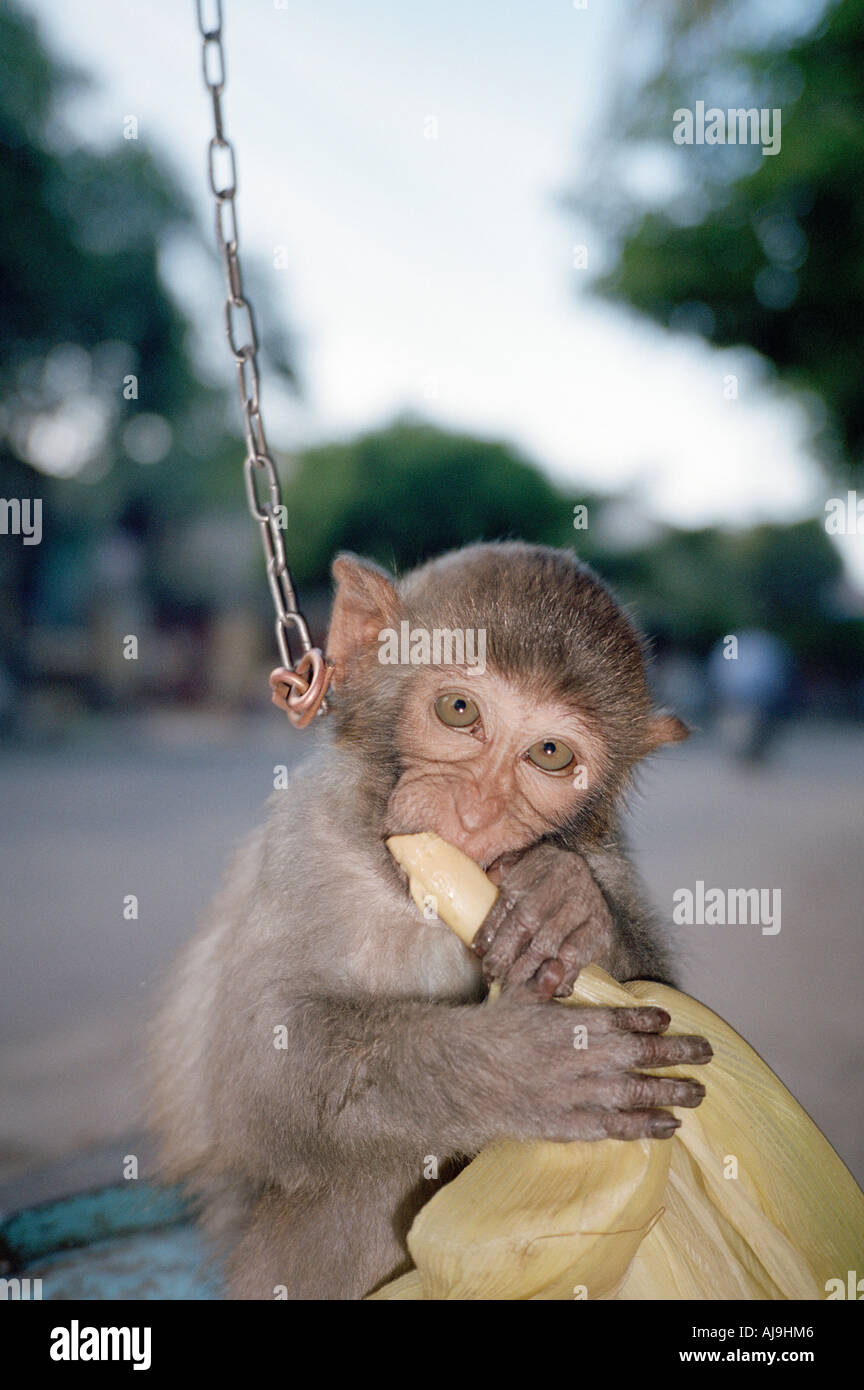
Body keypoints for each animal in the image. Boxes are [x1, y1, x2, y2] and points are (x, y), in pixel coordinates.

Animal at [148, 541, 712, 1301]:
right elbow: (261, 1074)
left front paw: (564, 899)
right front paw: (520, 1070)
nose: (475, 814)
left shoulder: (610, 857)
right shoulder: (303, 847)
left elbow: (664, 992)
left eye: (551, 754)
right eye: (457, 709)